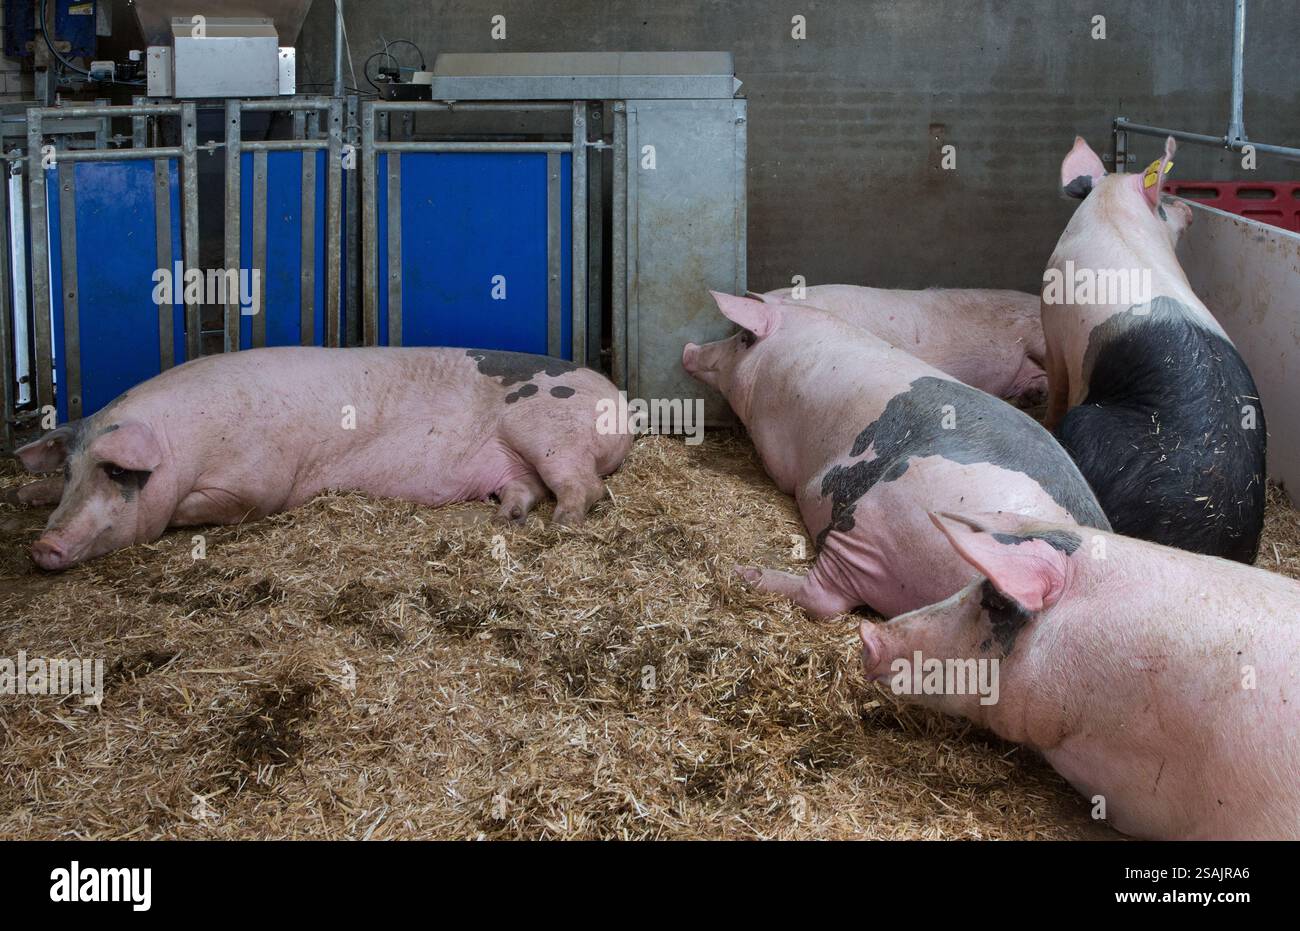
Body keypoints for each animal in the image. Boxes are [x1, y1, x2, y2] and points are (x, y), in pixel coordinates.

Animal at [13, 346, 631, 570]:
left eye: (117, 471)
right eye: (70, 470)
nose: (42, 546)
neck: (181, 445)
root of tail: (619, 398)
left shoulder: (255, 484)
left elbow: (204, 509)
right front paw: (23, 492)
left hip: (550, 432)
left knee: (585, 488)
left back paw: (558, 526)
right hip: (515, 458)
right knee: (526, 486)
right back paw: (507, 517)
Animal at [1045, 135, 1266, 563]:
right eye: (1164, 204)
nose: (1187, 208)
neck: (1111, 213)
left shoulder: (1053, 332)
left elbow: (1057, 388)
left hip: (1089, 428)